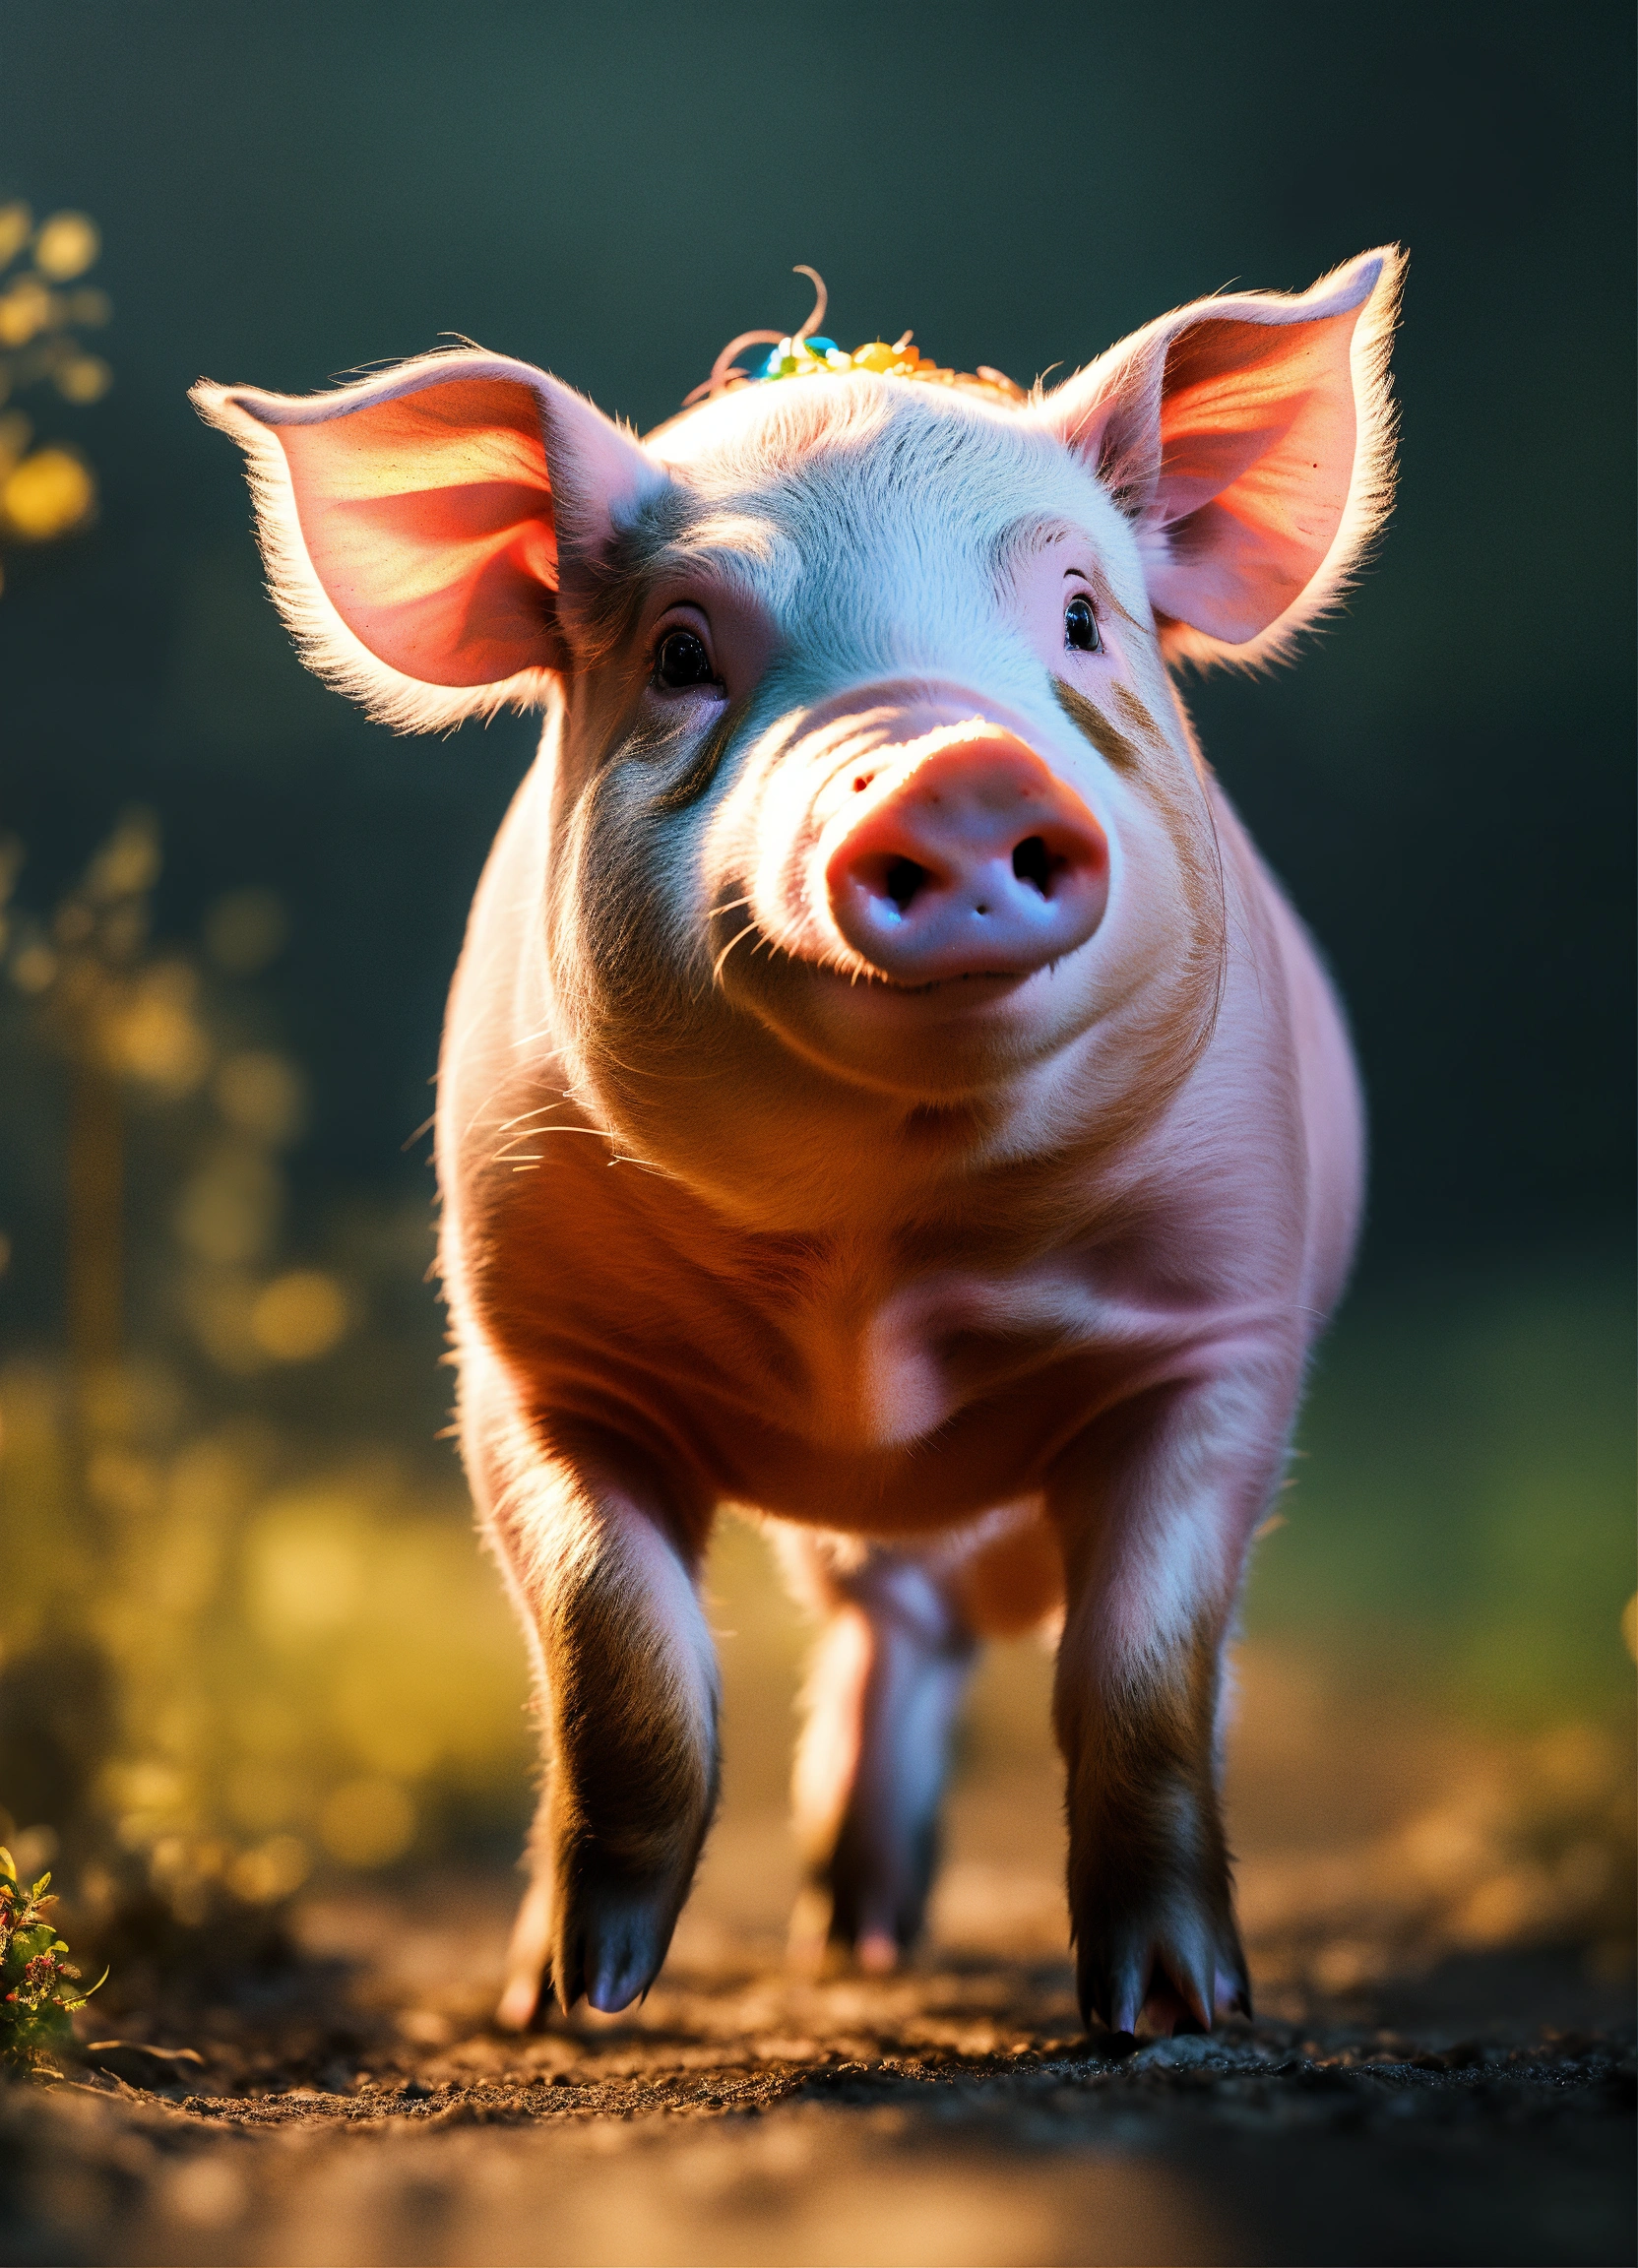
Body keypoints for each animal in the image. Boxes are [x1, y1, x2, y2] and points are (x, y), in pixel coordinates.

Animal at [194, 244, 1400, 2038]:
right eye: (684, 648)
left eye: (1079, 616)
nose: (954, 769)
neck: (873, 1271)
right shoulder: (529, 1352)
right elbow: (619, 1657)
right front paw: (571, 1998)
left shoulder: (1219, 1333)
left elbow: (1140, 1669)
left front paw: (1173, 2012)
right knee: (879, 1625)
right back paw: (843, 1941)